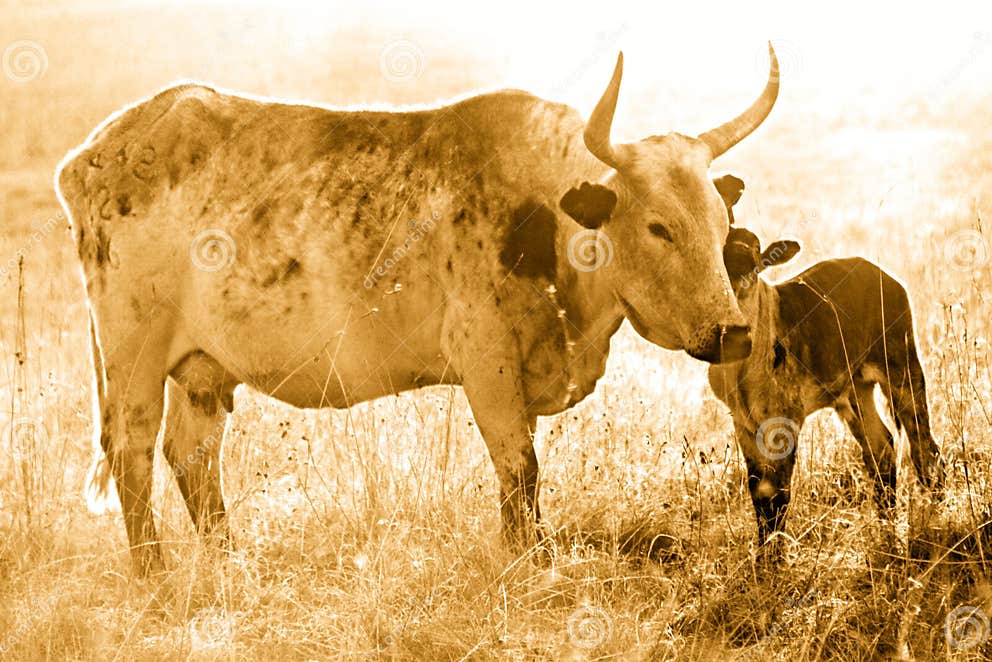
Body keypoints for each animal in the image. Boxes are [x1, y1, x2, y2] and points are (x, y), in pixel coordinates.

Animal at [55, 46, 780, 574]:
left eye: (720, 221)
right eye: (659, 227)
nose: (732, 332)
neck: (546, 216)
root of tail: (97, 152)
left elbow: (520, 476)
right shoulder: (487, 361)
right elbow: (520, 470)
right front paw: (529, 565)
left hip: (200, 366)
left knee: (192, 455)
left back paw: (229, 562)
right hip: (132, 353)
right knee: (131, 452)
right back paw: (154, 577)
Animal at [709, 221, 944, 547]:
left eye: (755, 255)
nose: (741, 275)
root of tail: (883, 275)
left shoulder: (785, 421)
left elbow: (777, 496)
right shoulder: (742, 422)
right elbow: (759, 494)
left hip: (903, 368)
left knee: (924, 449)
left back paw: (936, 521)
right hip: (855, 391)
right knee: (881, 448)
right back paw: (886, 533)